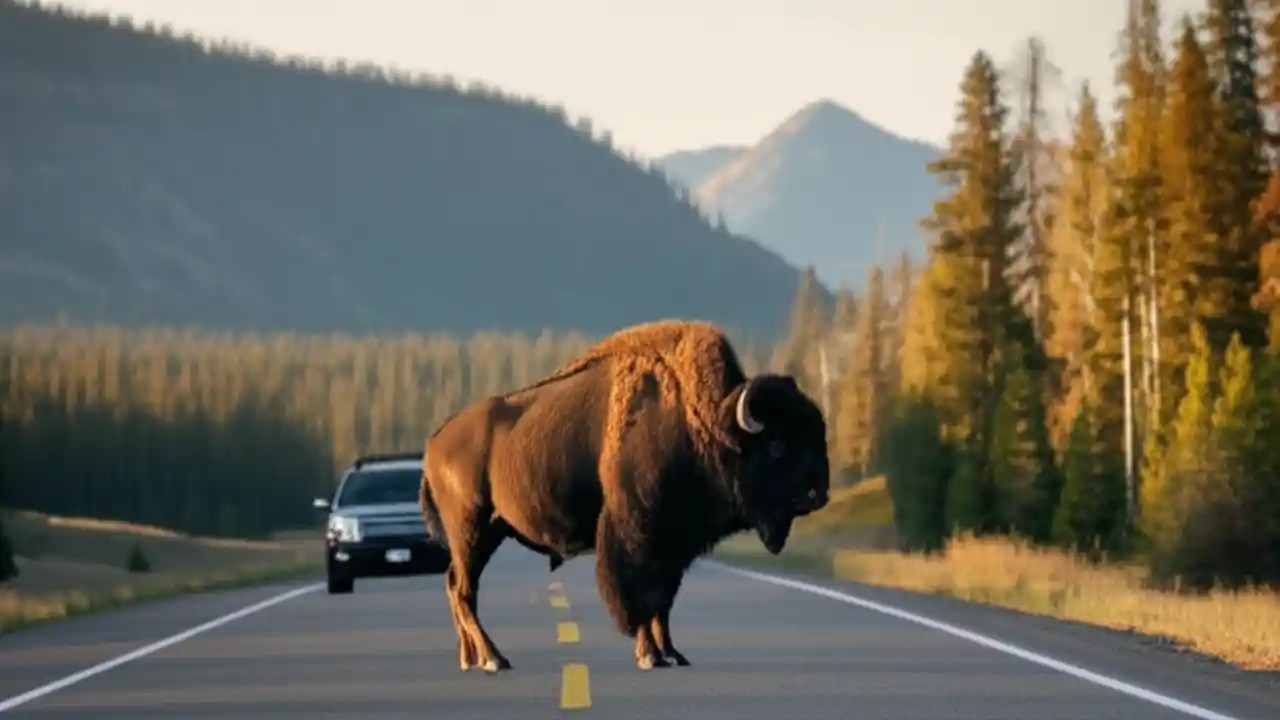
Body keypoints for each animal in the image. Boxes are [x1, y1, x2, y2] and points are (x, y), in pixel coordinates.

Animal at [418, 319, 829, 671]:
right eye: (776, 444)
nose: (818, 493)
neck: (703, 422)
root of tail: (435, 441)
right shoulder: (636, 536)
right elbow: (640, 597)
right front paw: (649, 655)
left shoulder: (674, 546)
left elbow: (664, 601)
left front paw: (672, 653)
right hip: (471, 531)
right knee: (464, 590)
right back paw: (493, 658)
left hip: (490, 532)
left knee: (456, 586)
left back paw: (471, 658)